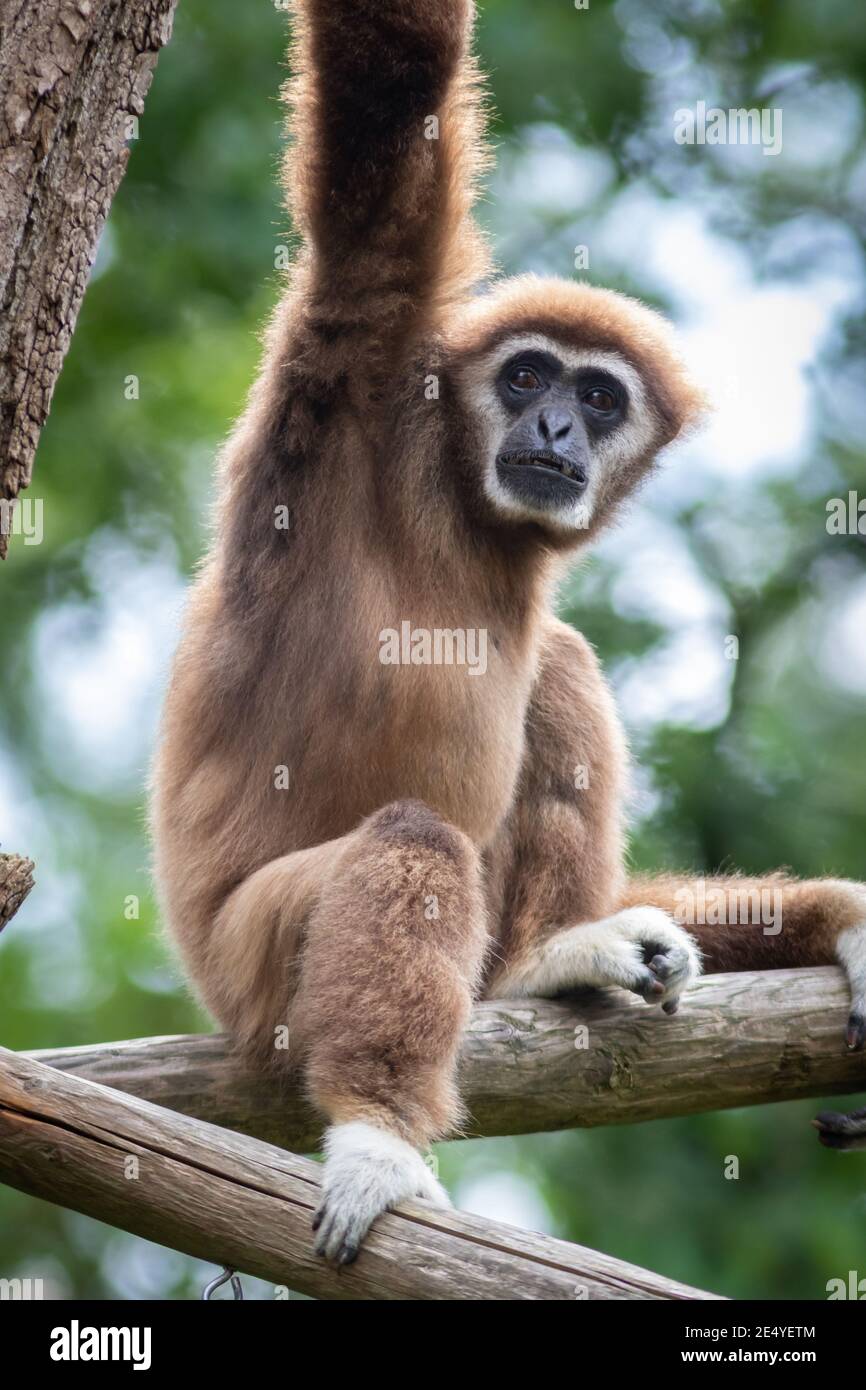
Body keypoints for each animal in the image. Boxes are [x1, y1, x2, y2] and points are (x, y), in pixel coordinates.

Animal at [151, 0, 866, 1266]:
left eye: (598, 398)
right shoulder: (357, 376)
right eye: (529, 376)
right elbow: (389, 114)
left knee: (559, 665)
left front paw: (844, 916)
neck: (458, 506)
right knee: (412, 842)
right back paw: (378, 1131)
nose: (553, 429)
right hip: (247, 961)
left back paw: (547, 954)